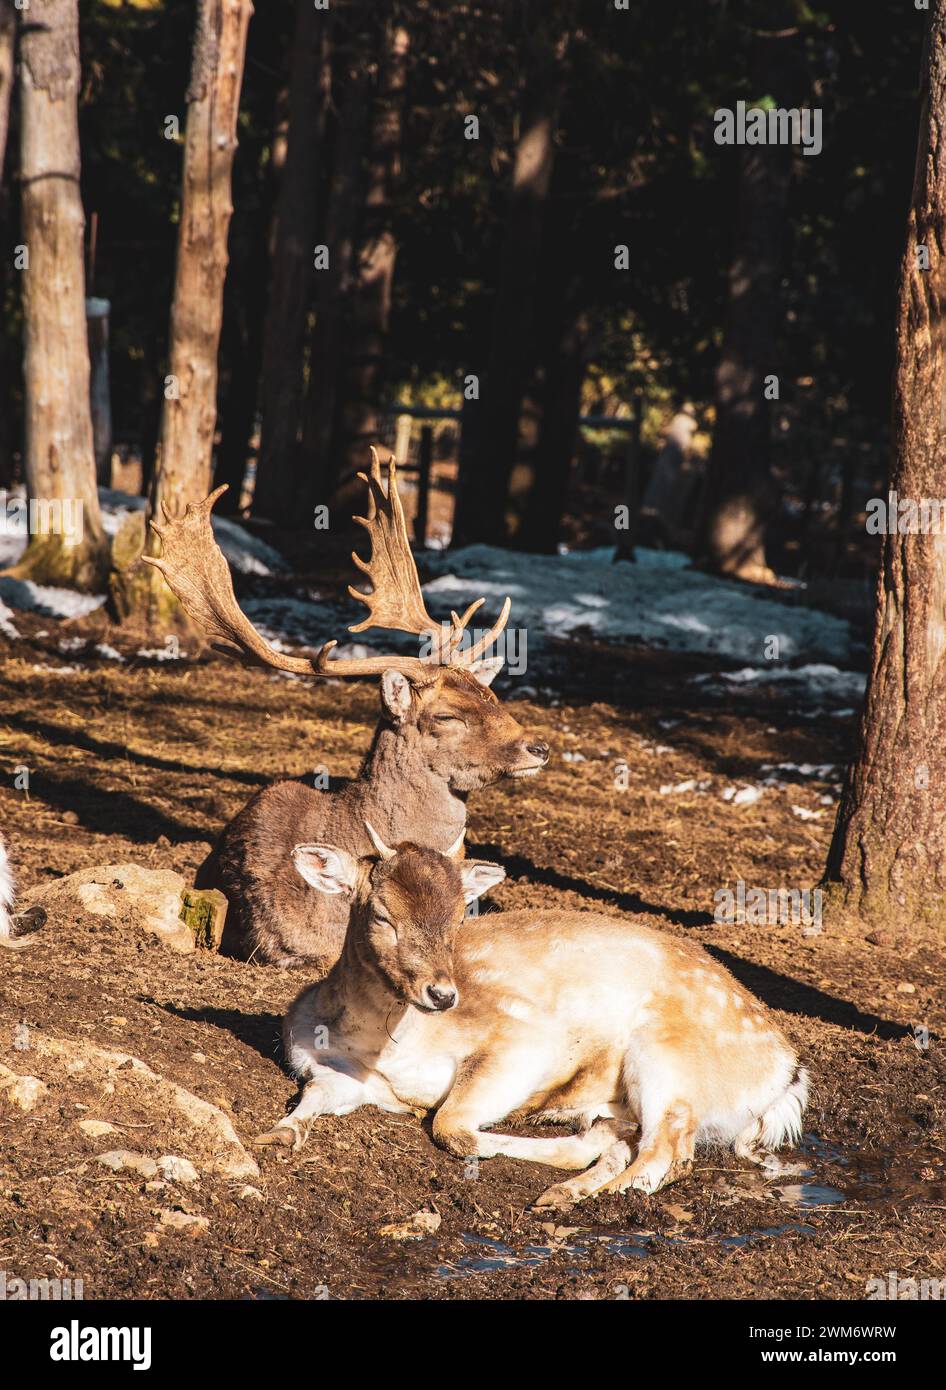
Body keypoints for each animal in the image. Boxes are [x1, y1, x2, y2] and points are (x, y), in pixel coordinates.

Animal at [253, 830, 810, 1209]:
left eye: (459, 916)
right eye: (383, 915)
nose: (442, 993)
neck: (384, 1051)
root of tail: (787, 1070)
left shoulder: (521, 1038)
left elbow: (450, 1125)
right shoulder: (326, 1067)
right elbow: (313, 1094)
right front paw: (277, 1134)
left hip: (669, 1057)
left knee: (669, 1149)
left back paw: (600, 1189)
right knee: (643, 1142)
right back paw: (573, 1182)